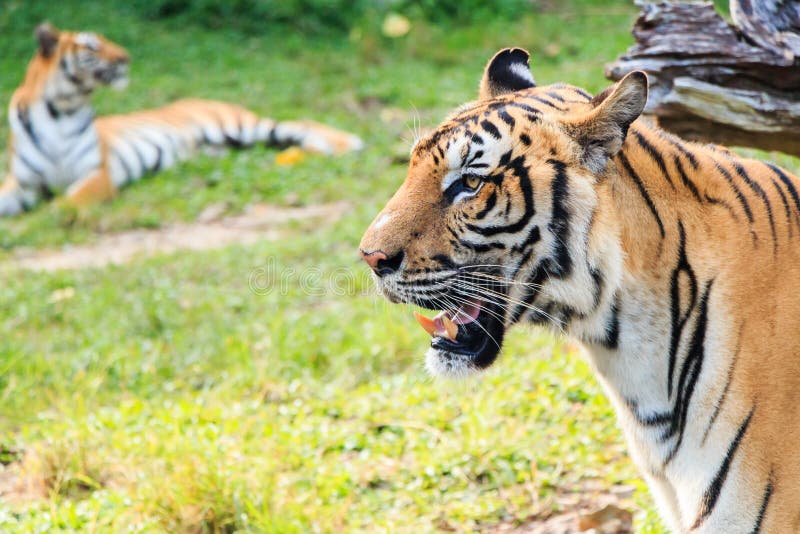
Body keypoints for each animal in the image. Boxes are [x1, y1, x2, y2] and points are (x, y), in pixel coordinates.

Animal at [0, 23, 363, 216]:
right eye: (92, 46)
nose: (126, 58)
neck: (60, 111)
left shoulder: (98, 174)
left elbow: (67, 202)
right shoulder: (21, 183)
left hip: (239, 125)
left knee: (300, 124)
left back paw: (346, 143)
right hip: (228, 145)